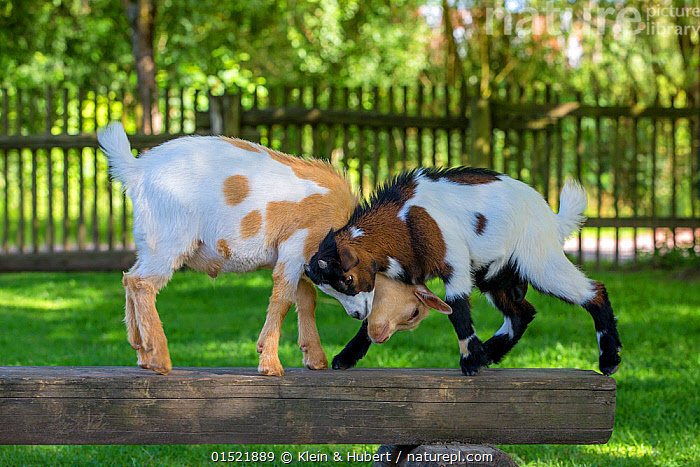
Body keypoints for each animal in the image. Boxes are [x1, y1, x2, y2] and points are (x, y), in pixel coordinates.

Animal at [98, 122, 366, 376]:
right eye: (350, 279)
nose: (361, 314)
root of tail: (137, 169)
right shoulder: (296, 246)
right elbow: (283, 300)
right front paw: (270, 365)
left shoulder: (300, 261)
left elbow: (307, 298)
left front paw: (316, 360)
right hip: (169, 240)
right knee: (142, 283)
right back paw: (160, 361)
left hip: (149, 243)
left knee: (129, 277)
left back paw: (142, 354)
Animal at [306, 167, 622, 376]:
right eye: (330, 290)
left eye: (347, 279)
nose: (354, 313)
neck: (403, 219)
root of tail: (551, 217)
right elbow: (374, 319)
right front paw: (346, 357)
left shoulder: (454, 261)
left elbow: (457, 308)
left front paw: (470, 360)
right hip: (494, 275)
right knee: (521, 313)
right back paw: (489, 353)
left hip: (539, 259)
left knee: (594, 291)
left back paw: (609, 360)